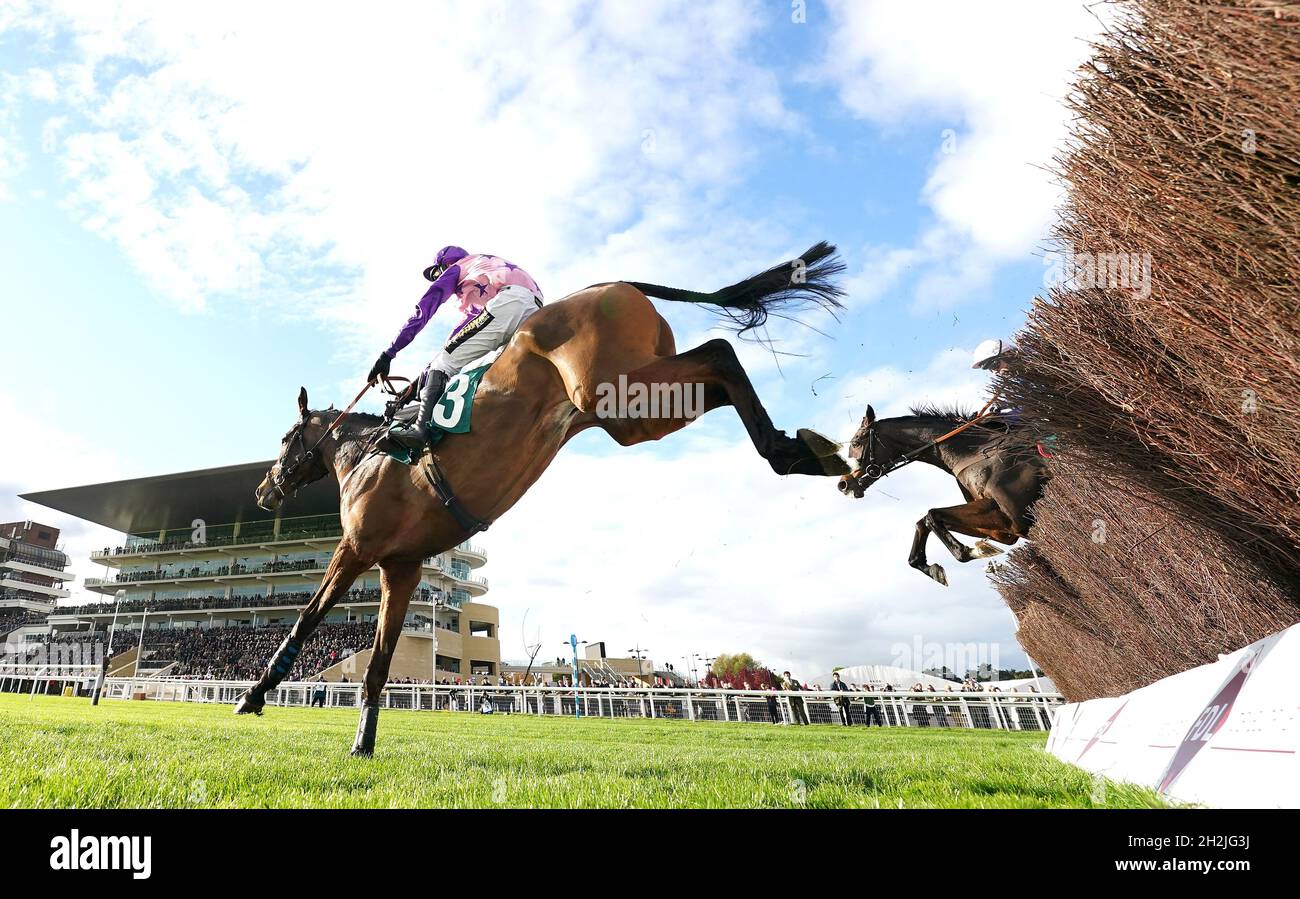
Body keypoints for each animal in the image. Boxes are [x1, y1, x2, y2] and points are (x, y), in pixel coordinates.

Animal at [235, 243, 851, 755]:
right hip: (636, 410)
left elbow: (306, 619)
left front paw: (254, 695)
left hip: (613, 391)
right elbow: (379, 663)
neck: (365, 454)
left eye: (286, 439)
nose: (264, 490)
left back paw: (805, 450)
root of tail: (616, 283)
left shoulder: (357, 548)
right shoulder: (401, 568)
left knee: (720, 351)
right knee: (718, 366)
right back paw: (802, 451)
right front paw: (363, 741)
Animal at [836, 403, 1049, 585]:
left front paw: (973, 550)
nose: (843, 484)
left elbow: (932, 515)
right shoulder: (1003, 530)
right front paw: (928, 566)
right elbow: (924, 520)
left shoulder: (1015, 518)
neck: (972, 451)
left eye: (856, 442)